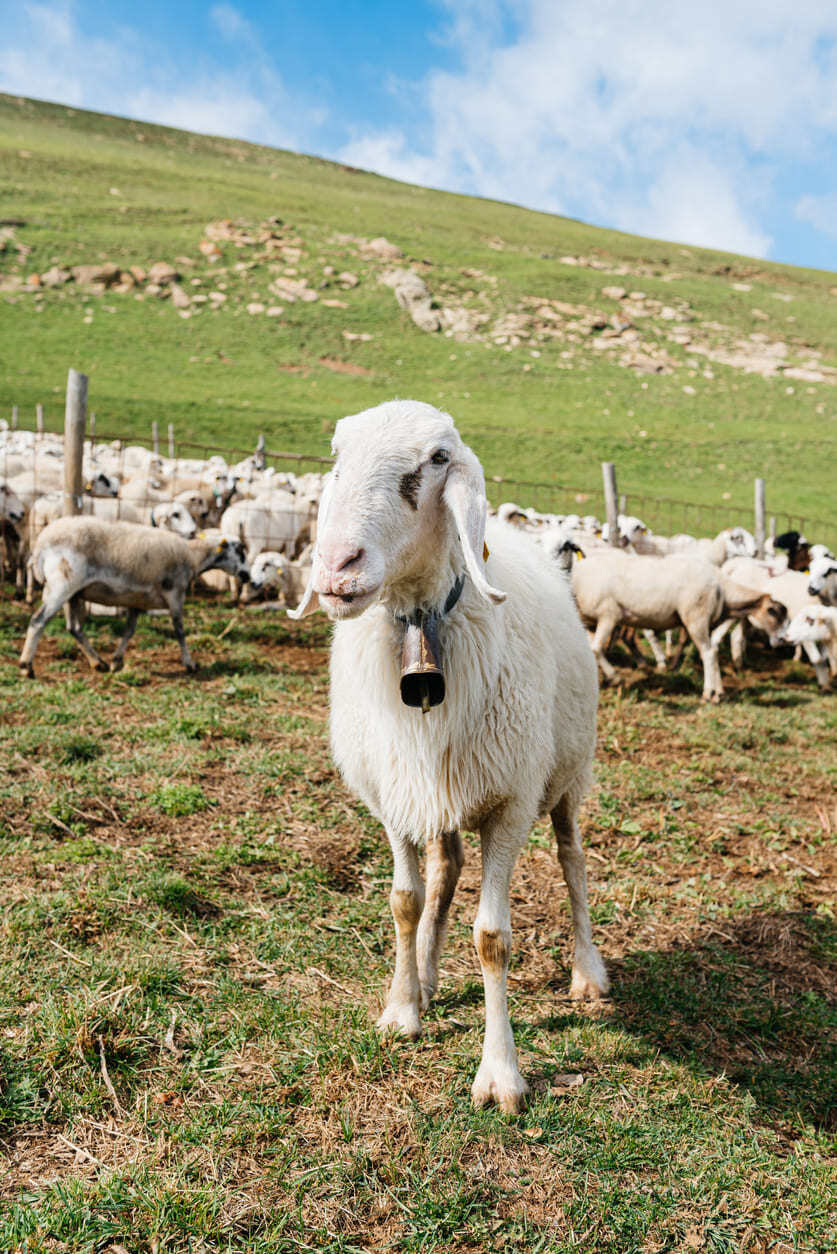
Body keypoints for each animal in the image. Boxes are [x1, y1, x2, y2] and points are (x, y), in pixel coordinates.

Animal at [19, 518, 249, 677]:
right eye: (240, 551)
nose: (247, 576)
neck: (193, 557)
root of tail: (40, 544)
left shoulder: (137, 600)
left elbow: (129, 631)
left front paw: (116, 661)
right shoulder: (175, 593)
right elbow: (180, 631)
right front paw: (189, 663)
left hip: (71, 591)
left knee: (74, 628)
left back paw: (98, 663)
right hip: (63, 584)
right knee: (38, 620)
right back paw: (26, 666)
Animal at [287, 400, 608, 1113]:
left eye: (436, 459)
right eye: (336, 454)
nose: (336, 566)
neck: (422, 628)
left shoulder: (510, 804)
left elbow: (492, 939)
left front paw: (501, 1074)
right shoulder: (392, 797)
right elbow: (405, 901)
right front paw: (403, 1007)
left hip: (566, 775)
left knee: (572, 860)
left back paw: (589, 971)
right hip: (437, 787)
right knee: (447, 868)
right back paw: (427, 976)